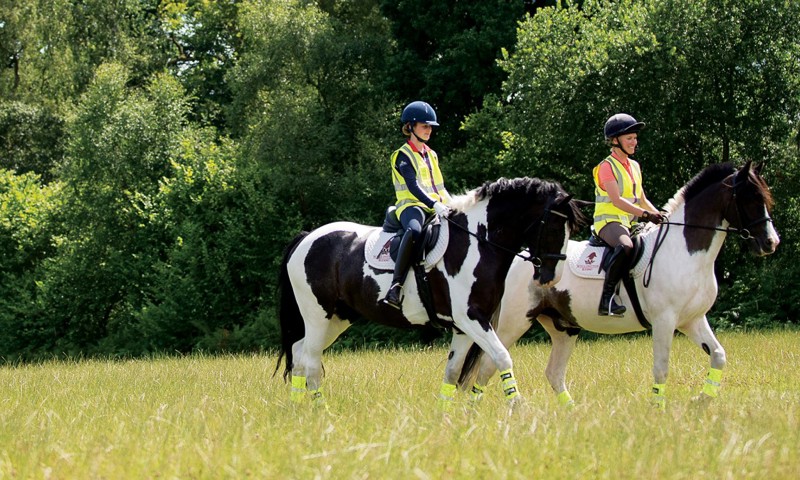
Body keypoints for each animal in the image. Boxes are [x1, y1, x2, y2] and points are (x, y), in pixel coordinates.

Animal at [275, 177, 585, 405]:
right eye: (555, 227)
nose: (550, 278)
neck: (477, 242)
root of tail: (308, 237)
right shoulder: (472, 319)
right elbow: (501, 357)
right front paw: (517, 407)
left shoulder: (464, 327)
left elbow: (452, 372)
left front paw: (444, 416)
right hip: (318, 316)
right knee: (311, 360)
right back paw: (320, 409)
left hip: (339, 318)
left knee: (300, 353)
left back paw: (297, 407)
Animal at [456, 161, 779, 408]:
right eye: (750, 198)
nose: (770, 243)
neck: (685, 251)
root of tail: (518, 258)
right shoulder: (665, 321)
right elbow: (661, 368)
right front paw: (658, 408)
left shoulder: (693, 320)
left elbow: (719, 356)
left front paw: (701, 400)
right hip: (516, 322)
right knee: (488, 365)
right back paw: (475, 408)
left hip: (564, 327)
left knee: (553, 373)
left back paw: (571, 412)